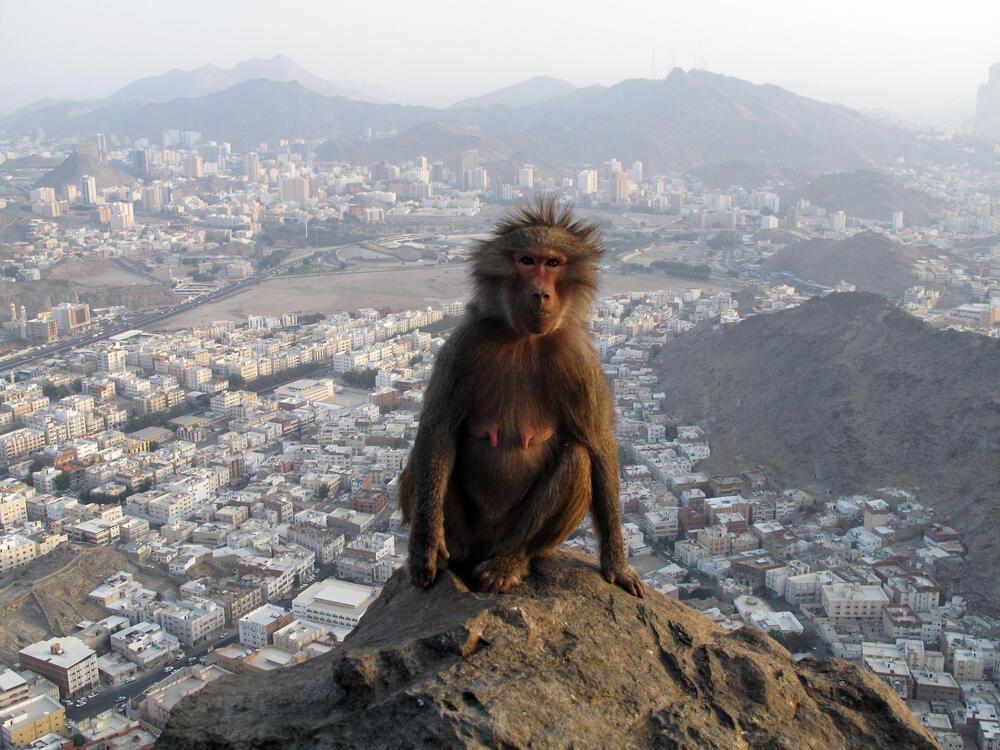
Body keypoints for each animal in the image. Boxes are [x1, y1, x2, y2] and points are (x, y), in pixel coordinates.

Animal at [397, 199, 644, 597]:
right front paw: (425, 548)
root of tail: (484, 547)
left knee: (577, 459)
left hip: (509, 535)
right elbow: (438, 432)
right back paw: (453, 552)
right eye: (527, 261)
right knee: (424, 455)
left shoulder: (577, 359)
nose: (541, 293)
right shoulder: (465, 344)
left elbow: (597, 444)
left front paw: (618, 565)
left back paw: (510, 561)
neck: (523, 337)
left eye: (554, 263)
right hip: (465, 531)